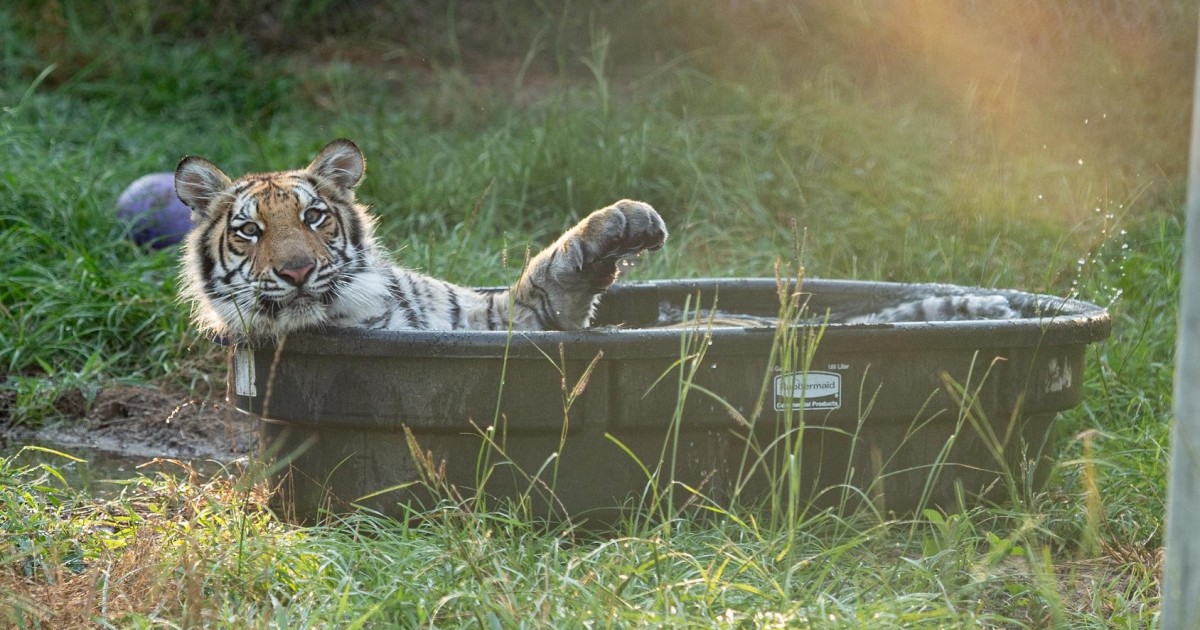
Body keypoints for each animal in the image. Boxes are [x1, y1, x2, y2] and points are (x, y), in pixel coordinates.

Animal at [174, 138, 667, 340]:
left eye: (313, 217)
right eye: (250, 231)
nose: (298, 271)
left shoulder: (498, 319)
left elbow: (551, 270)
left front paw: (624, 221)